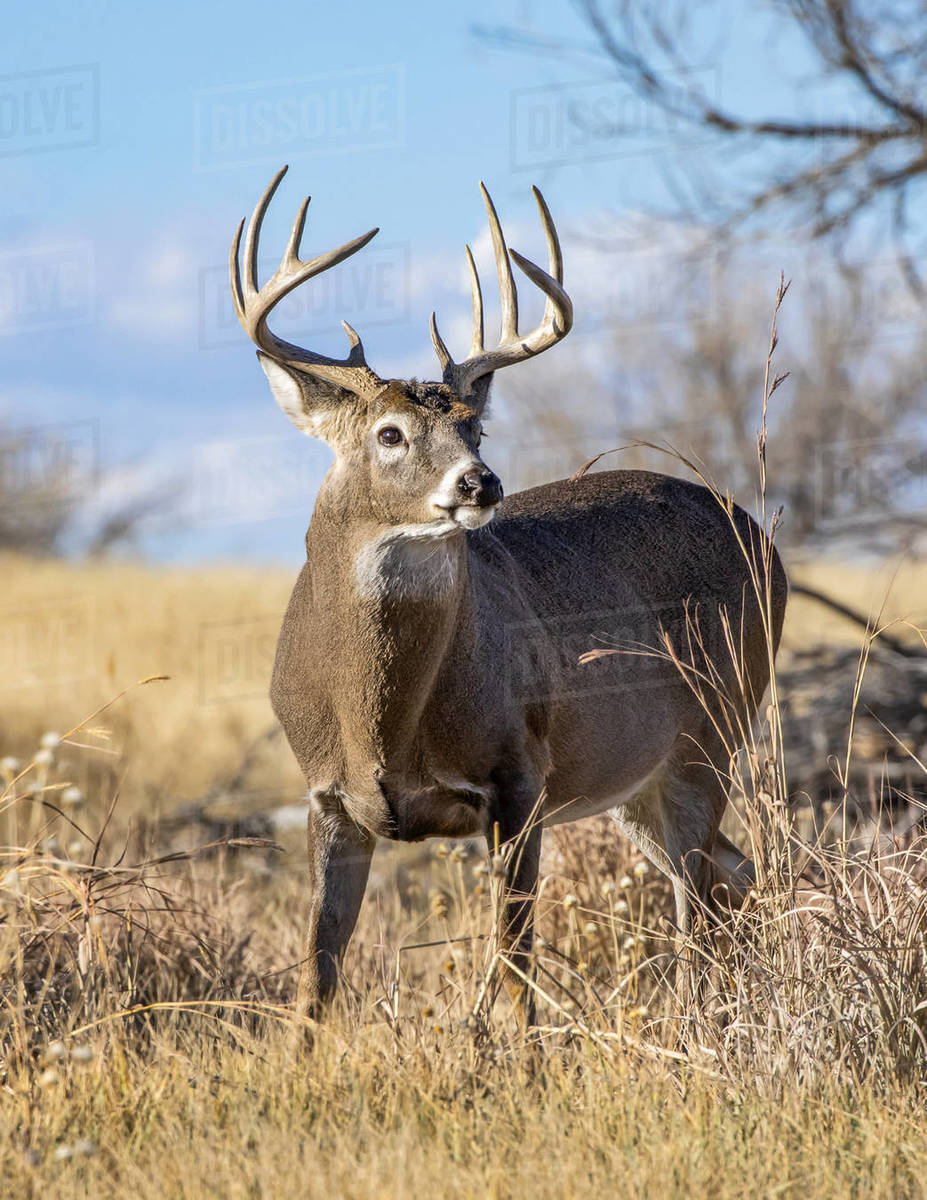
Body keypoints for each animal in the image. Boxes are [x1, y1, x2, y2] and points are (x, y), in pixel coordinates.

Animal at [229, 166, 788, 1028]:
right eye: (388, 433)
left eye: (475, 429)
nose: (479, 483)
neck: (382, 720)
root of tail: (764, 541)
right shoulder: (328, 799)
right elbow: (316, 978)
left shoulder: (519, 776)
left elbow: (514, 961)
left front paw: (515, 1050)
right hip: (638, 778)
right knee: (730, 872)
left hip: (713, 725)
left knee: (697, 898)